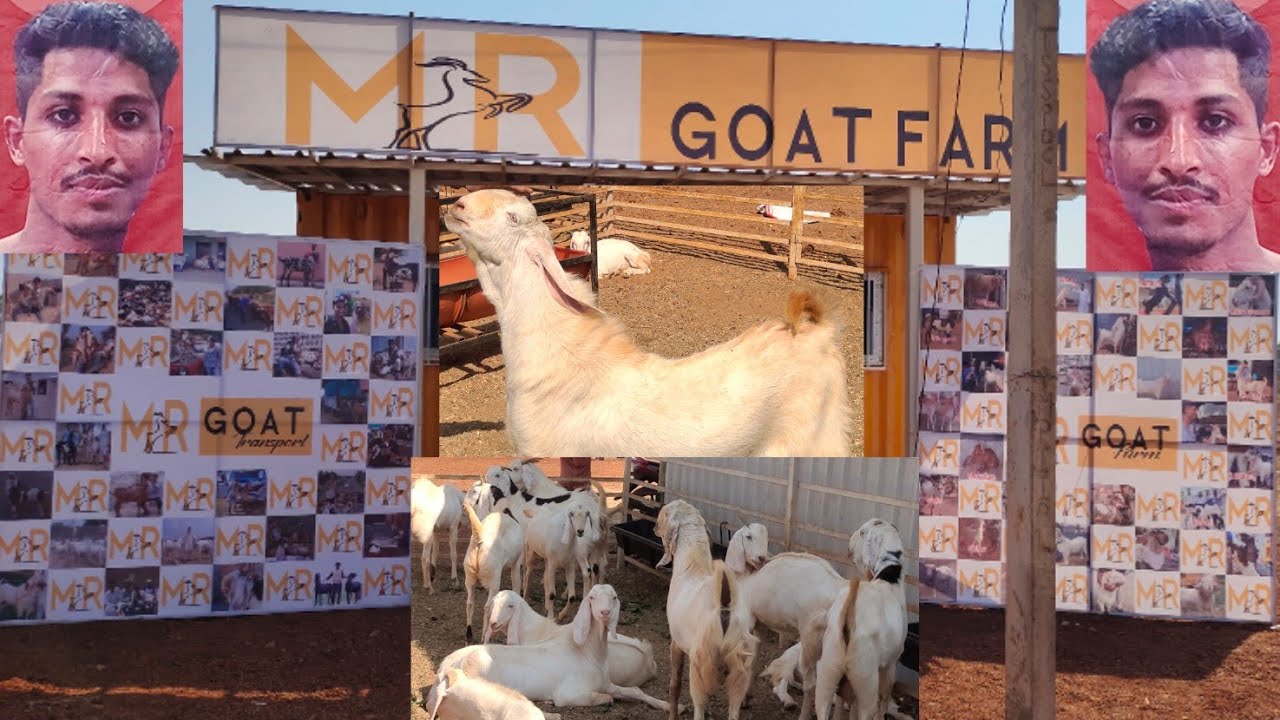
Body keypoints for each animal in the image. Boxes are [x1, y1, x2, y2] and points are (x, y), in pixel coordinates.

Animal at [463, 502, 526, 644]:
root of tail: (480, 540)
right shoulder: (516, 564)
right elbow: (516, 586)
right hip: (494, 580)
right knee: (487, 606)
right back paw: (484, 637)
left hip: (469, 577)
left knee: (469, 603)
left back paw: (469, 635)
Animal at [655, 500, 758, 720]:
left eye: (664, 513)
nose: (654, 527)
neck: (692, 567)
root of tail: (725, 606)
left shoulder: (676, 643)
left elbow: (674, 686)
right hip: (739, 670)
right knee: (734, 710)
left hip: (699, 666)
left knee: (699, 708)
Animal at [812, 519, 909, 720]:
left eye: (863, 532)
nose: (849, 546)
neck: (888, 577)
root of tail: (848, 617)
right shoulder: (891, 663)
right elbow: (885, 697)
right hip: (866, 681)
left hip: (828, 671)